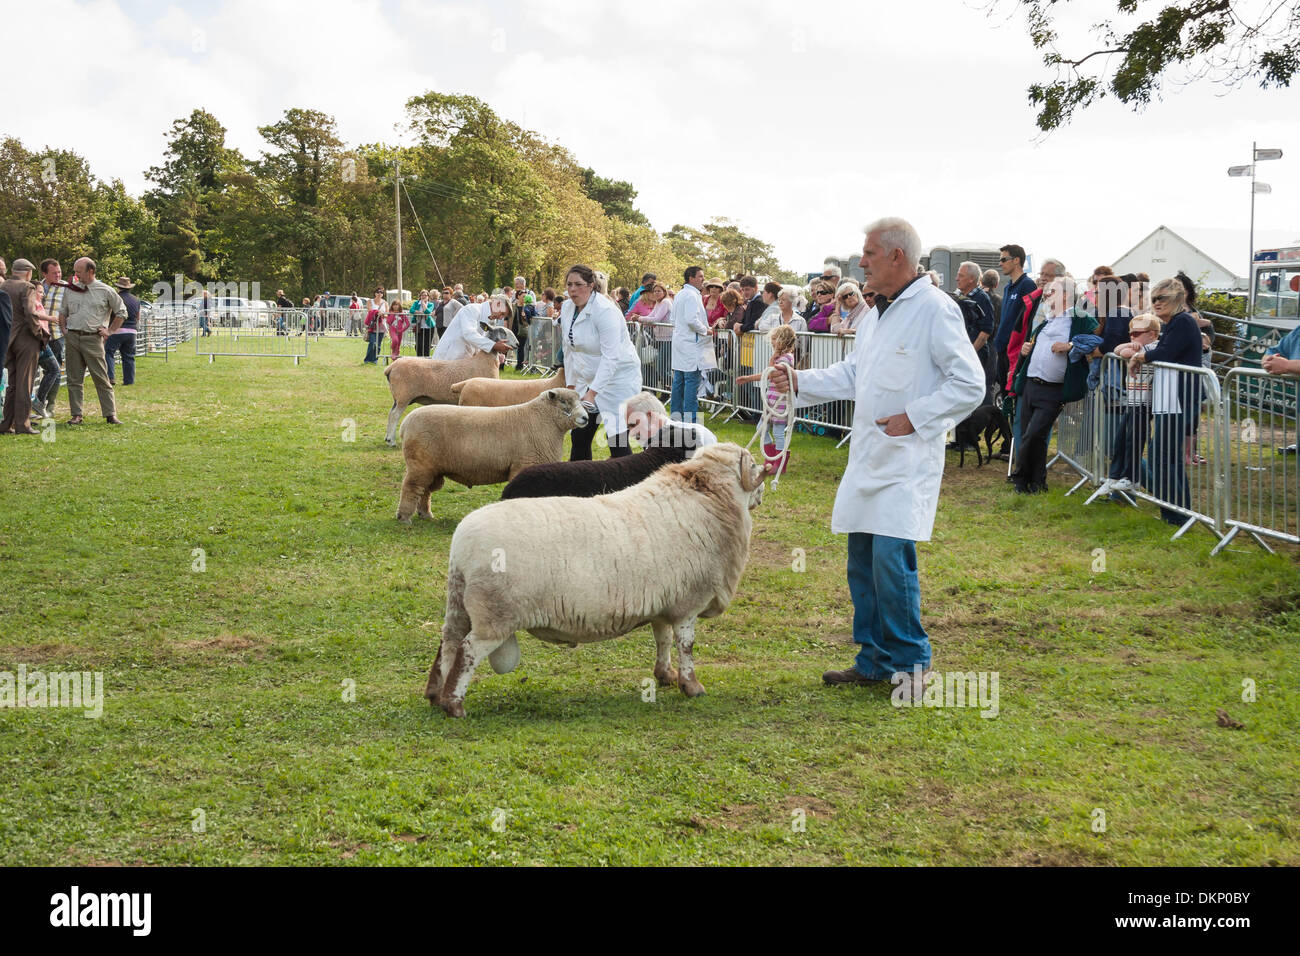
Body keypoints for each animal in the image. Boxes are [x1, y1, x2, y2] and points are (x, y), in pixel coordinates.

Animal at [382, 325, 519, 446]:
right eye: (502, 331)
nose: (517, 344)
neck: (486, 360)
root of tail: (391, 367)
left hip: (398, 397)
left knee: (390, 414)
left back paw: (388, 438)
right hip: (404, 396)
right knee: (394, 415)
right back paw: (391, 441)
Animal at [396, 388, 588, 524]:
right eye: (563, 402)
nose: (585, 418)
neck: (542, 420)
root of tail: (405, 423)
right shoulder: (523, 465)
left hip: (433, 468)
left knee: (425, 490)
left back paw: (426, 514)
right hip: (420, 464)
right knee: (411, 487)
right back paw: (404, 518)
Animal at [425, 442, 766, 717]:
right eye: (751, 465)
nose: (762, 491)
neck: (708, 501)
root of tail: (462, 543)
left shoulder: (665, 602)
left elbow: (663, 639)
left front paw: (664, 675)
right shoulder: (688, 603)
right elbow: (686, 646)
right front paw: (691, 686)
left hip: (461, 604)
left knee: (448, 643)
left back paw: (435, 694)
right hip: (495, 614)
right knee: (468, 651)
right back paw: (454, 705)